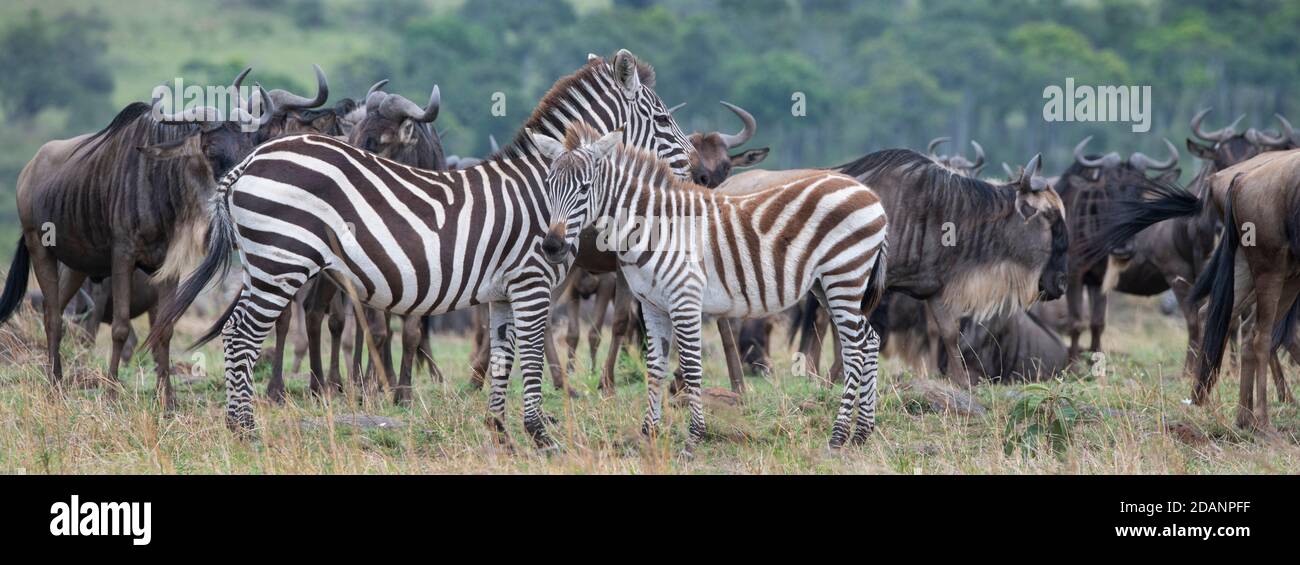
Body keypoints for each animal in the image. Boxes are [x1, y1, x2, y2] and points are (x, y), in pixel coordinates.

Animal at [145, 50, 697, 447]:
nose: (693, 165)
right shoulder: (532, 282)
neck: (547, 187)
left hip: (265, 265)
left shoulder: (503, 292)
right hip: (282, 262)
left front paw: (500, 433)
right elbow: (532, 356)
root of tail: (250, 162)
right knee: (241, 335)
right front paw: (541, 437)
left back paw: (239, 425)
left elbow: (503, 357)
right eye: (662, 119)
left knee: (237, 333)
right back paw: (246, 432)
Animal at [531, 123, 888, 453]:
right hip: (825, 284)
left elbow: (691, 368)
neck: (653, 228)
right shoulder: (653, 305)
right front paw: (648, 434)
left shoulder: (685, 299)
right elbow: (655, 368)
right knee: (870, 340)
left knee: (855, 348)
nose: (552, 246)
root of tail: (867, 192)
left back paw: (838, 437)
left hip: (843, 275)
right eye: (548, 186)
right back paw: (861, 434)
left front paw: (694, 438)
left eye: (584, 188)